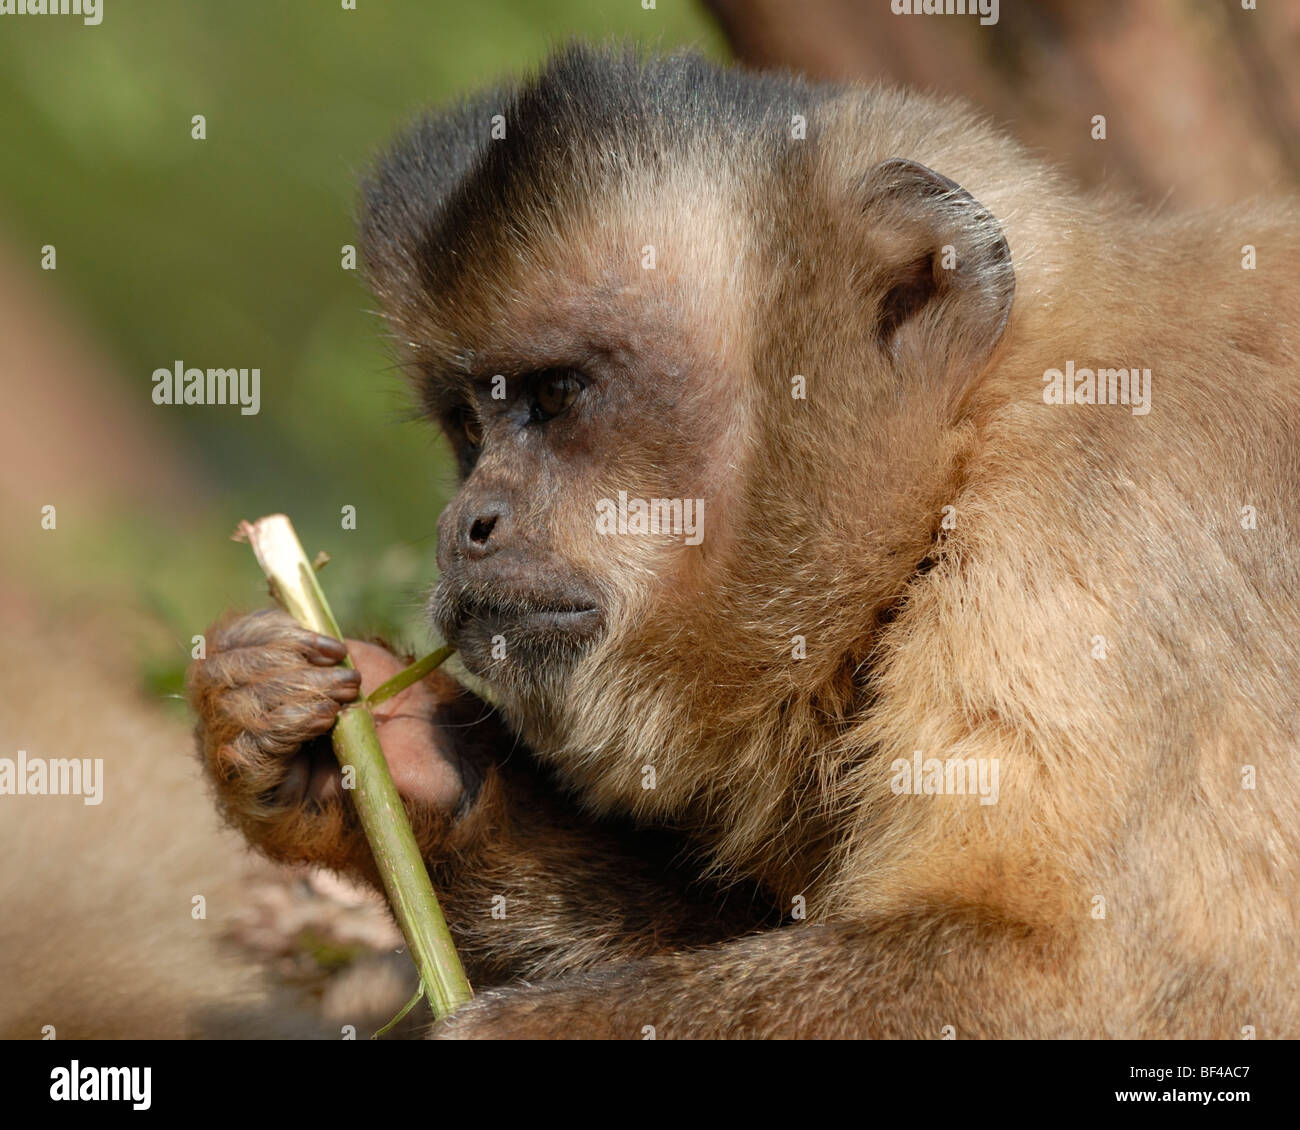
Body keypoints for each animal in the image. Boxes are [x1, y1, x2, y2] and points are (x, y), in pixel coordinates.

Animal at [187, 44, 1300, 1038]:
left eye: (555, 398)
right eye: (471, 426)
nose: (465, 525)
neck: (964, 456)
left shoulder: (1110, 517)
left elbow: (1076, 978)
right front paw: (403, 755)